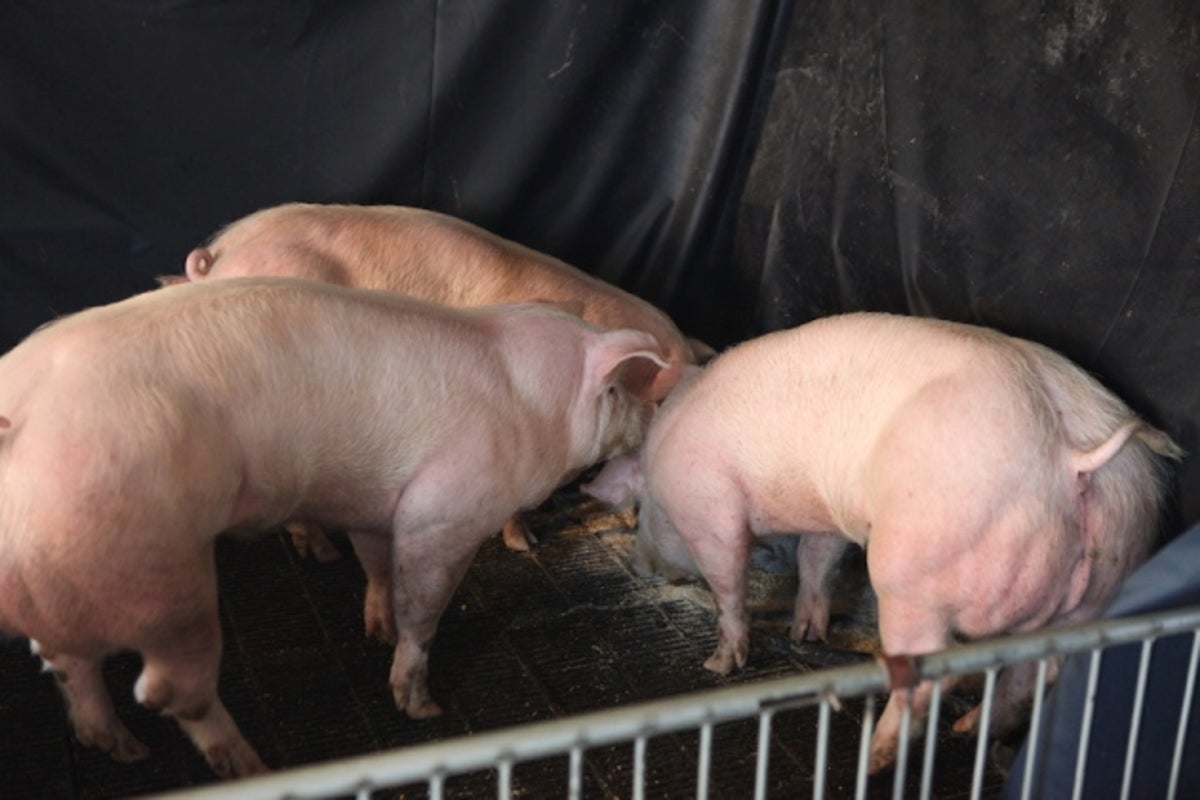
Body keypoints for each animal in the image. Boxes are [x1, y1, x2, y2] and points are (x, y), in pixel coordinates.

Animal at [0, 276, 665, 777]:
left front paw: (375, 628)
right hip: (158, 574)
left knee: (63, 658)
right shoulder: (444, 510)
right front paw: (422, 706)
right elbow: (424, 604)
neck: (533, 411)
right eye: (622, 389)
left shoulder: (370, 501)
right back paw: (253, 767)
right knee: (166, 690)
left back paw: (122, 749)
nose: (655, 415)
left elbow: (375, 566)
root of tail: (21, 406)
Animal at [583, 311, 1183, 774]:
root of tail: (1067, 453)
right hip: (1110, 569)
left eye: (640, 508)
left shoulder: (710, 505)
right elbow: (817, 561)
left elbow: (728, 581)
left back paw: (875, 758)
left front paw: (717, 665)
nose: (639, 566)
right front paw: (805, 633)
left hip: (917, 572)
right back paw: (969, 730)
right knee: (1035, 672)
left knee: (932, 677)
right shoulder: (824, 513)